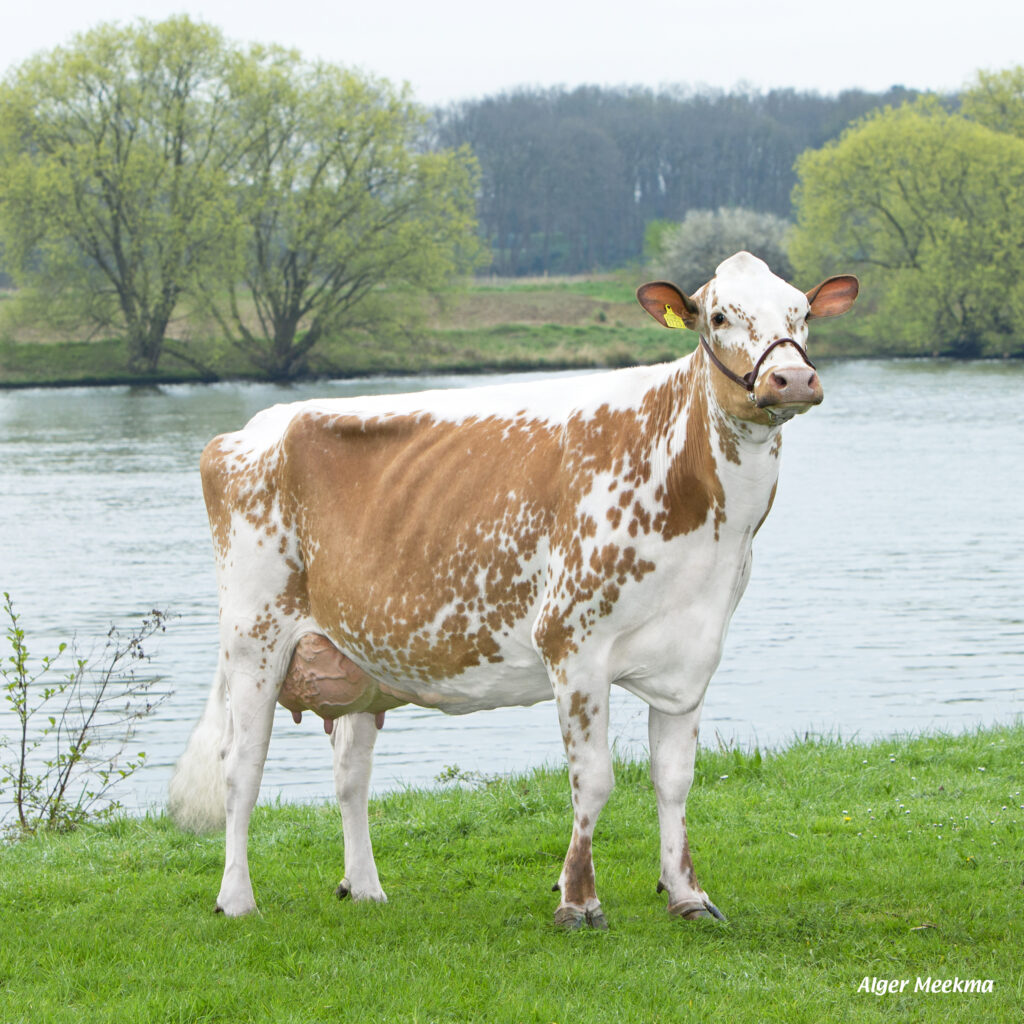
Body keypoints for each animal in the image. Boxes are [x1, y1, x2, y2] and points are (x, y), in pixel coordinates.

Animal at [169, 252, 858, 929]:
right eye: (717, 315)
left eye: (800, 312)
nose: (792, 379)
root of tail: (253, 426)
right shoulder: (572, 643)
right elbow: (594, 781)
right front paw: (578, 900)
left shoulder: (692, 652)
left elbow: (675, 779)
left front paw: (687, 894)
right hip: (254, 639)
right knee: (242, 767)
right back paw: (236, 899)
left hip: (356, 655)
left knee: (350, 772)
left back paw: (365, 888)